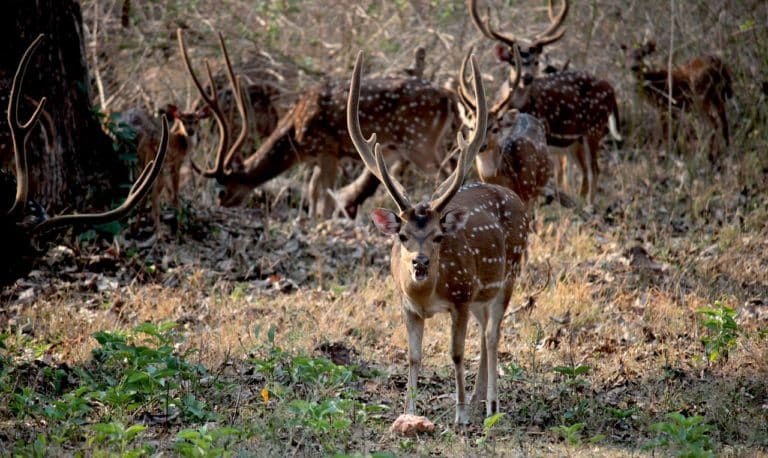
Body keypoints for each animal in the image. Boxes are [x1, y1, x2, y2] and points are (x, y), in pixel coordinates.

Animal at [178, 29, 457, 218]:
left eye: (223, 190)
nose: (222, 206)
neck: (296, 135)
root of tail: (449, 97)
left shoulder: (327, 148)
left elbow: (324, 193)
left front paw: (321, 221)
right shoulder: (318, 156)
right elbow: (313, 191)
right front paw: (311, 220)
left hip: (419, 142)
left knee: (447, 175)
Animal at [348, 51, 529, 427]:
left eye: (439, 236)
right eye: (402, 235)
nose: (420, 262)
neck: (427, 296)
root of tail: (514, 196)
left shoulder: (460, 296)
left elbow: (456, 353)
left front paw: (460, 416)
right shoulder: (408, 306)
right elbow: (413, 357)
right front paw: (409, 411)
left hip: (509, 275)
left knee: (493, 334)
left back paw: (491, 405)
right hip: (480, 295)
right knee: (485, 332)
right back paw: (478, 399)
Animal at [468, 0, 622, 207]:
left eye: (535, 61)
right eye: (512, 61)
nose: (526, 78)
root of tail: (612, 90)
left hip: (595, 128)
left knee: (593, 170)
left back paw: (589, 205)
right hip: (577, 140)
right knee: (584, 172)